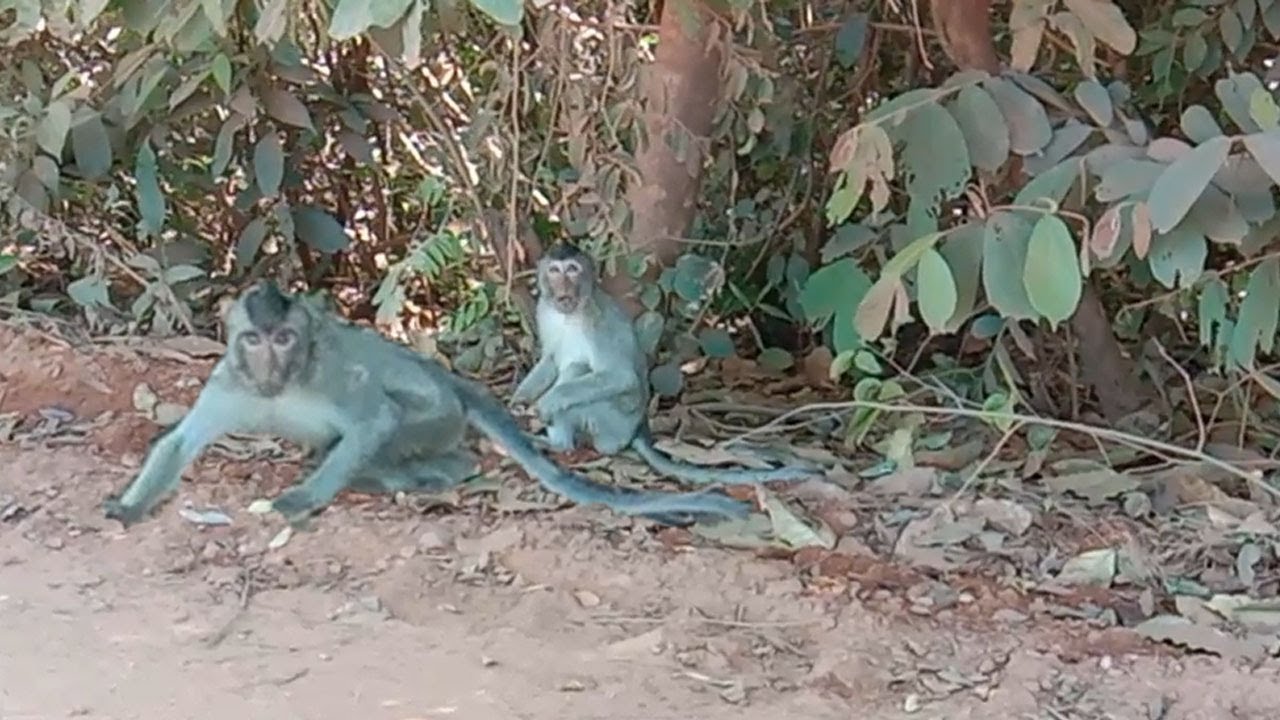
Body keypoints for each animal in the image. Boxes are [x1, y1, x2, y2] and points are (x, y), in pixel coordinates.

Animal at [102, 282, 751, 529]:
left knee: (398, 432)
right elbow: (179, 441)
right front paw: (130, 507)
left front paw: (301, 501)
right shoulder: (228, 381)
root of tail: (455, 383)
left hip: (436, 418)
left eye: (284, 339)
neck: (277, 386)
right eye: (254, 341)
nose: (267, 363)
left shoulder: (333, 377)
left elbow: (375, 418)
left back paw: (434, 473)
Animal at [510, 244, 820, 487]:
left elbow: (621, 377)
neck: (571, 311)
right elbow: (550, 359)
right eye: (554, 270)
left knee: (580, 374)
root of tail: (638, 430)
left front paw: (548, 402)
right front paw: (519, 401)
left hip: (612, 423)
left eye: (572, 270)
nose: (563, 288)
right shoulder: (545, 310)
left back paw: (560, 445)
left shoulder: (597, 322)